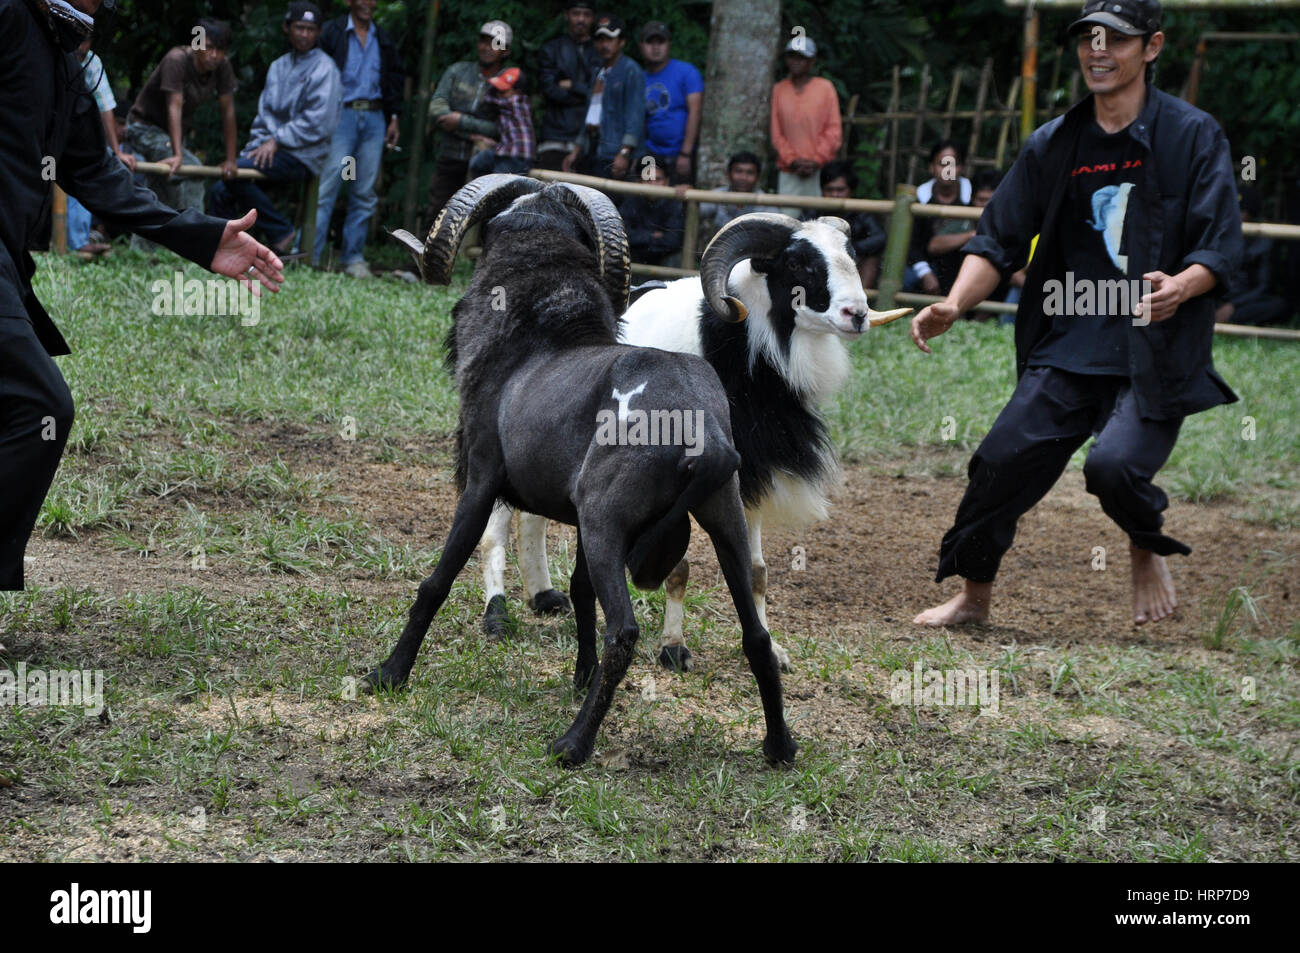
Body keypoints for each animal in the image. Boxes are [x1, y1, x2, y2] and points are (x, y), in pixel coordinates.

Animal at [362, 175, 796, 768]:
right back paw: (780, 746)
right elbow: (579, 590)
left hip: (606, 519)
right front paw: (579, 677)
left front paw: (389, 674)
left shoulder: (480, 483)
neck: (539, 333)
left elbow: (438, 580)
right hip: (722, 517)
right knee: (755, 637)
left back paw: (572, 744)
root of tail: (701, 433)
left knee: (626, 630)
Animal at [481, 212, 909, 671]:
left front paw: (772, 650)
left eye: (850, 255)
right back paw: (496, 615)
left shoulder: (747, 477)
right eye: (797, 263)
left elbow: (755, 571)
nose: (856, 314)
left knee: (532, 516)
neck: (733, 347)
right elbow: (679, 567)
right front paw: (673, 648)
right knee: (496, 525)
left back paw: (543, 597)